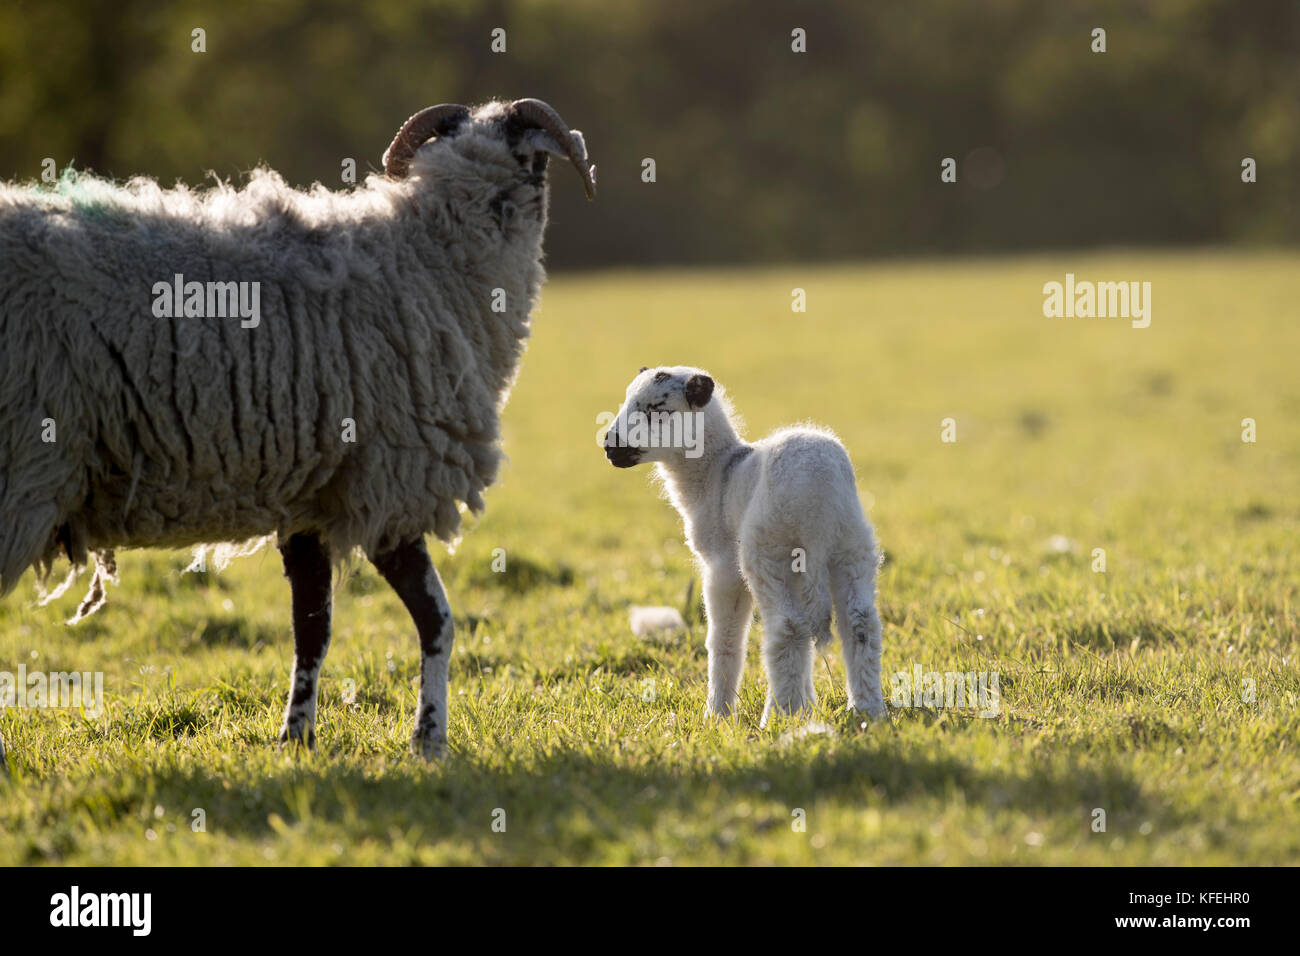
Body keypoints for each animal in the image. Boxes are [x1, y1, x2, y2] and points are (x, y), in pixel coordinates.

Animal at [0, 98, 597, 771]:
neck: (432, 257)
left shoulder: (310, 498)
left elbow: (312, 627)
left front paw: (297, 736)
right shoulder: (391, 484)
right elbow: (437, 620)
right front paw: (430, 739)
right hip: (21, 463)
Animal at [602, 366, 886, 725]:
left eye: (658, 409)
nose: (609, 446)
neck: (716, 474)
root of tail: (817, 496)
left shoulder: (722, 568)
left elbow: (724, 638)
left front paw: (718, 714)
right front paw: (808, 706)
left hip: (767, 549)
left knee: (788, 627)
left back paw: (779, 716)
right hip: (851, 546)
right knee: (859, 623)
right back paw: (867, 710)